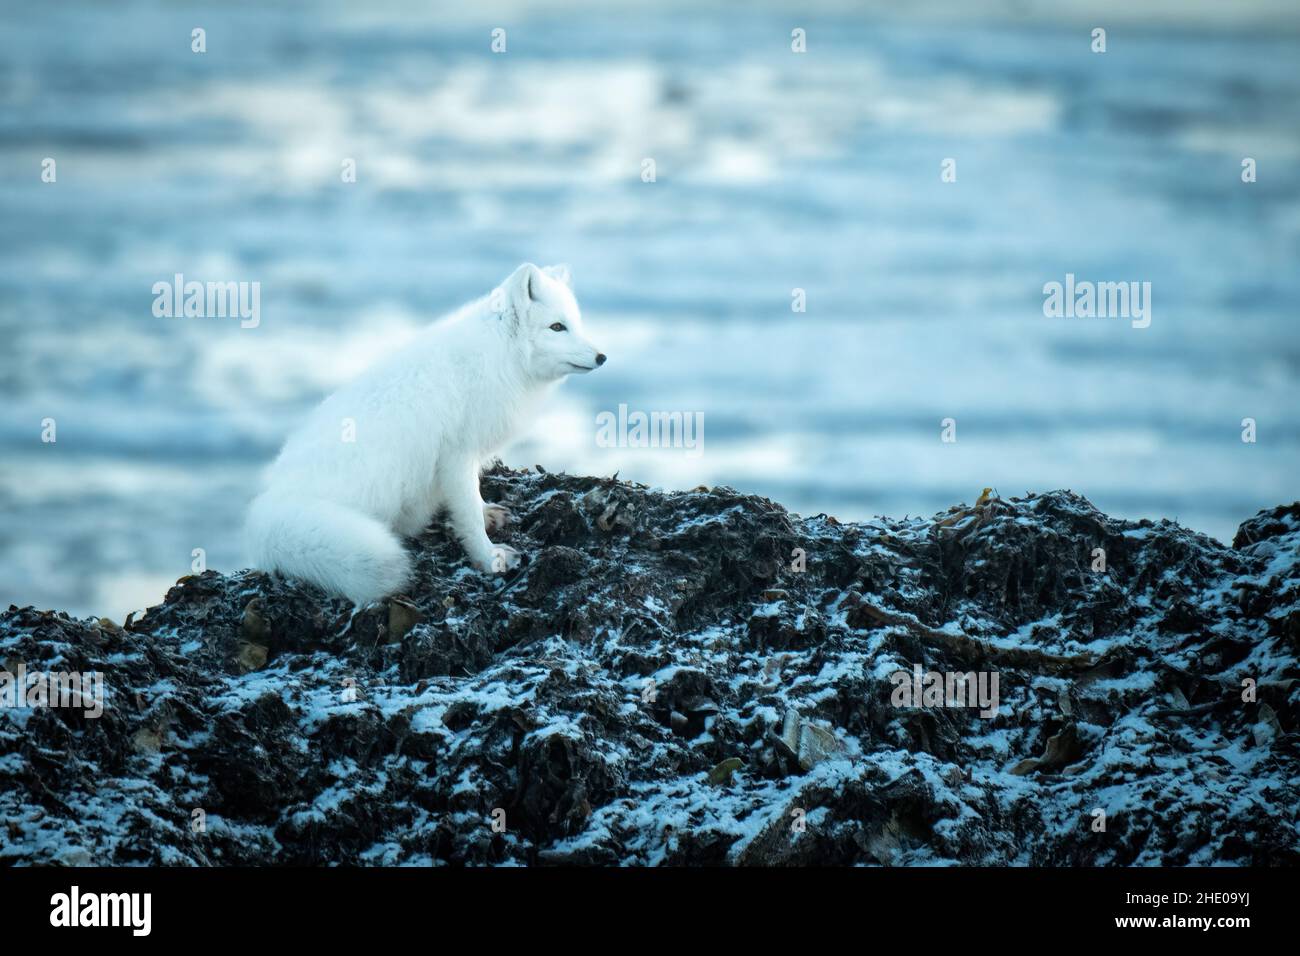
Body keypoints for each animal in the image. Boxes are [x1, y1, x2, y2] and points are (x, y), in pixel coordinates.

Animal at [244, 263, 605, 605]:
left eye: (577, 323)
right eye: (557, 327)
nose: (601, 356)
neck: (501, 356)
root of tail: (271, 501)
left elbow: (471, 501)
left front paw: (486, 513)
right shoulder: (457, 455)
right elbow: (468, 513)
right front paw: (488, 558)